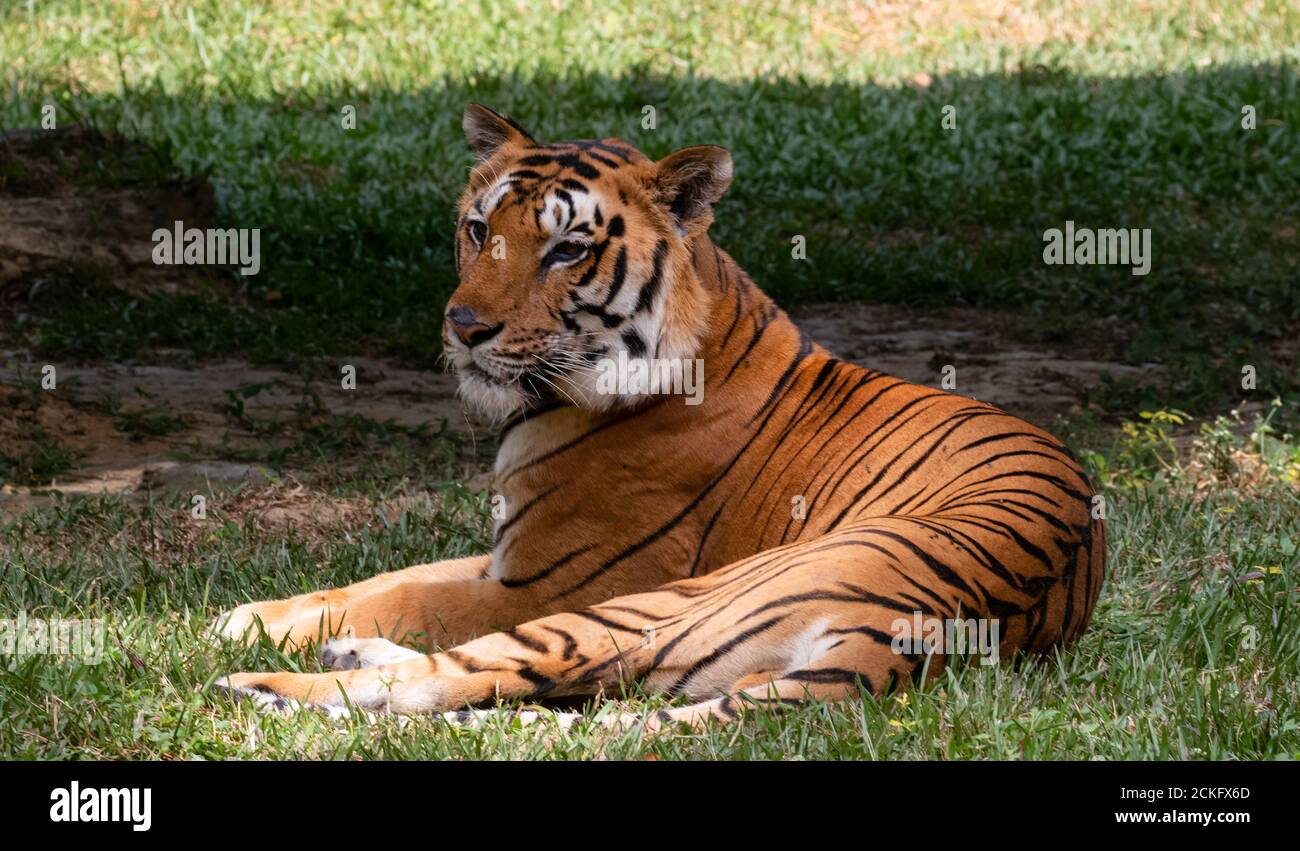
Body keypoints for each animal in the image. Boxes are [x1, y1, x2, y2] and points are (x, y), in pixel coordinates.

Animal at [214, 104, 1106, 729]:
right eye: (477, 229)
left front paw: (233, 629)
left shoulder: (549, 578)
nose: (463, 327)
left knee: (445, 678)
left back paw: (259, 686)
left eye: (566, 249)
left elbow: (413, 597)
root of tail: (909, 637)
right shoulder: (509, 554)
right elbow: (384, 580)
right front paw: (250, 614)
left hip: (644, 606)